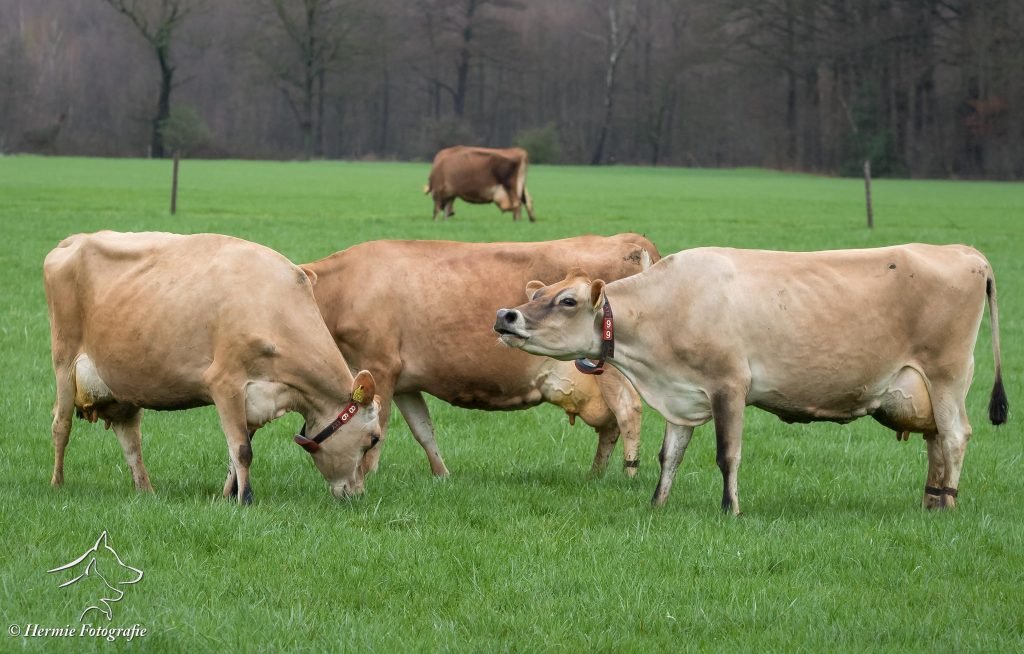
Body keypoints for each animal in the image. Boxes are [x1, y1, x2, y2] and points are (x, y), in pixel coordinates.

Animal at [43, 231, 383, 504]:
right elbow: (243, 450)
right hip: (64, 363)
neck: (272, 306)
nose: (357, 495)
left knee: (130, 438)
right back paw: (57, 484)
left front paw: (228, 496)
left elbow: (236, 452)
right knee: (61, 425)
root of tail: (73, 240)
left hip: (123, 385)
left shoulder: (255, 401)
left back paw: (146, 490)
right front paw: (245, 500)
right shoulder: (225, 382)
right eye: (374, 439)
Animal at [303, 234, 660, 477]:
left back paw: (629, 475)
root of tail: (628, 239)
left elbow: (381, 426)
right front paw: (442, 475)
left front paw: (370, 473)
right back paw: (595, 475)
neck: (343, 290)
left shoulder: (380, 366)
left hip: (614, 370)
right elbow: (423, 429)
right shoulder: (404, 382)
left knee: (628, 411)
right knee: (610, 425)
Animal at [495, 244, 1008, 513]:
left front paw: (730, 510)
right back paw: (930, 501)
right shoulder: (681, 395)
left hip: (947, 374)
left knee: (956, 436)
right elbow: (669, 455)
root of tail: (965, 253)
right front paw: (658, 504)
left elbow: (728, 455)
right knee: (938, 441)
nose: (505, 315)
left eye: (567, 302)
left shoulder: (729, 386)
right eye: (541, 293)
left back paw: (948, 505)